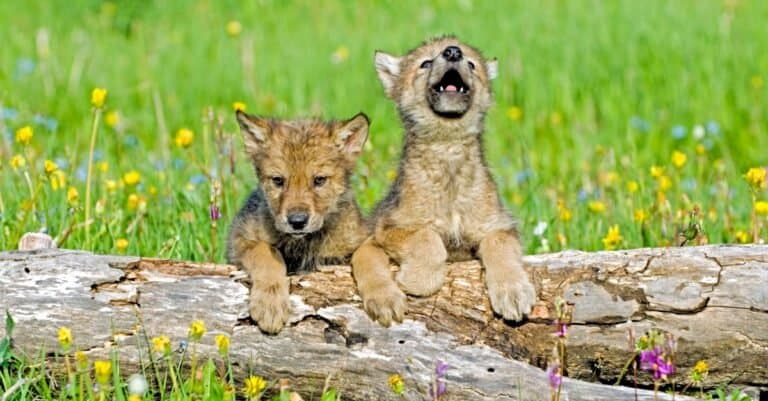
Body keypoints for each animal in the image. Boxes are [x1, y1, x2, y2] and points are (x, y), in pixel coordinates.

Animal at [228, 110, 370, 333]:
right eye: (278, 180)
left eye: (319, 180)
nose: (297, 221)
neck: (303, 245)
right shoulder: (239, 240)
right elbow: (265, 253)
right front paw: (270, 304)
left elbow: (368, 253)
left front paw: (385, 297)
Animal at [352, 37, 537, 326]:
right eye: (425, 62)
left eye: (471, 64)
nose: (452, 52)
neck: (448, 151)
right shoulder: (390, 227)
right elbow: (427, 237)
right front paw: (420, 280)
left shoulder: (499, 226)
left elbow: (500, 246)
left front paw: (514, 293)